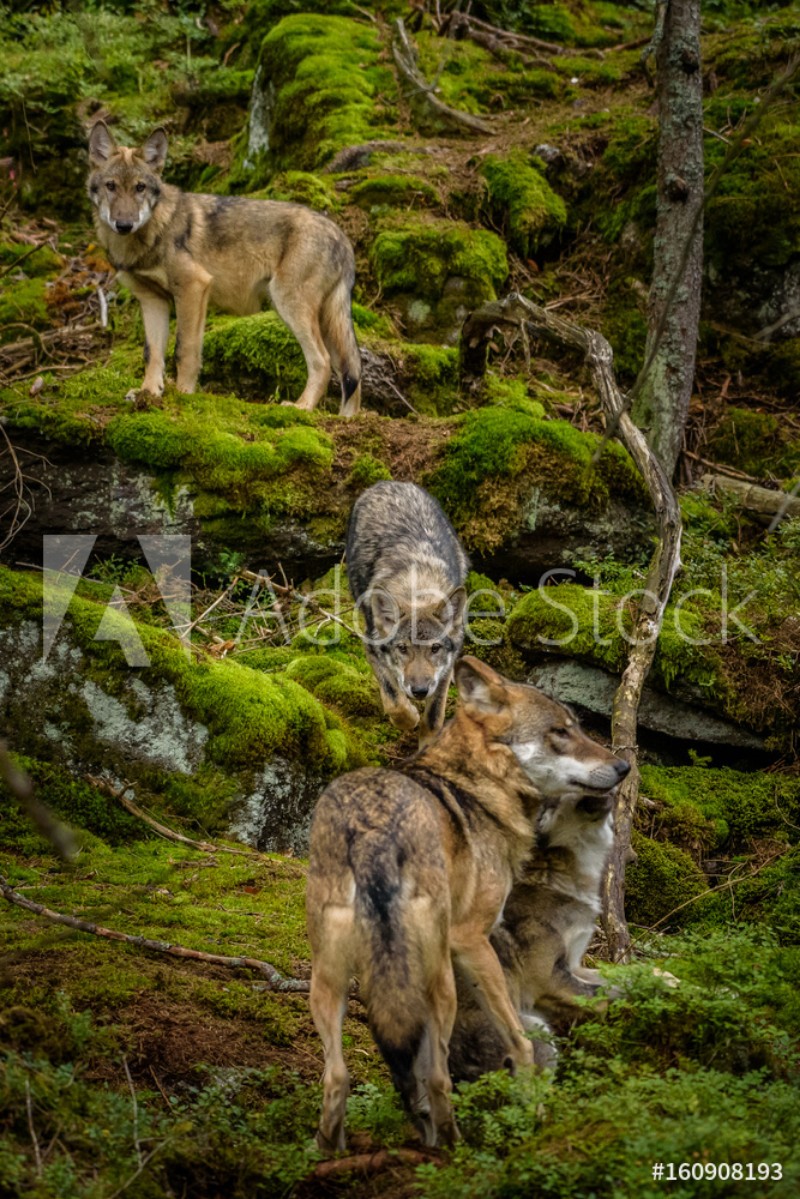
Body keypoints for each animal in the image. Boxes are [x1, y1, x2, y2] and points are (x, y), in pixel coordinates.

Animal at [86, 121, 361, 414]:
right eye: (111, 186)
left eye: (139, 188)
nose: (124, 224)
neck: (151, 234)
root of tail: (341, 236)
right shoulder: (152, 300)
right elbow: (152, 353)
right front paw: (148, 394)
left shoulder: (194, 287)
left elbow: (184, 349)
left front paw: (183, 395)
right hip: (318, 317)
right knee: (350, 369)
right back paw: (346, 417)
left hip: (290, 305)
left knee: (323, 362)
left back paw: (301, 407)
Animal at [345, 481, 468, 743]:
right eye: (402, 649)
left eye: (435, 648)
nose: (419, 690)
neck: (417, 584)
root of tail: (389, 483)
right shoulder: (371, 647)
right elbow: (395, 702)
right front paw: (410, 718)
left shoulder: (445, 665)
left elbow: (433, 719)